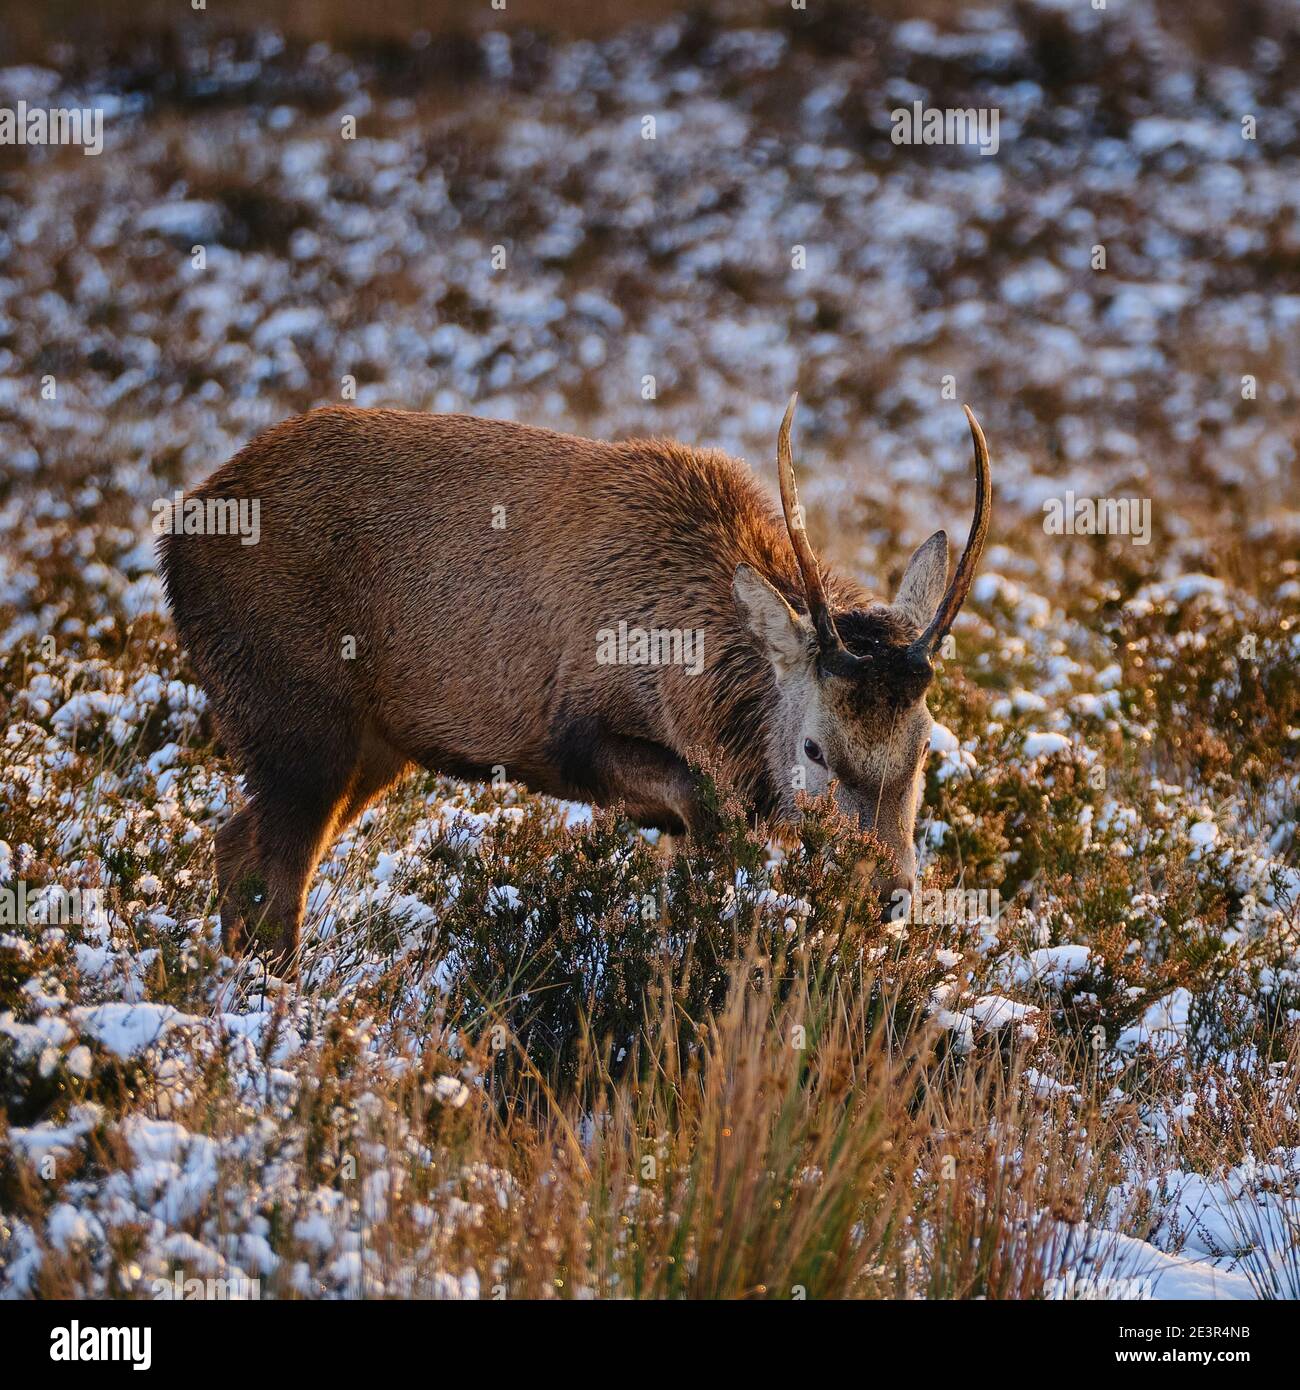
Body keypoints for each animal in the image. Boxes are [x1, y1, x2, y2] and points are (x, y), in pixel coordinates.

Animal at [159, 396, 990, 968]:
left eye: (926, 745)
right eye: (815, 748)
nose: (889, 891)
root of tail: (176, 535)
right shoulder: (572, 737)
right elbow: (702, 813)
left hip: (369, 746)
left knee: (233, 844)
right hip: (294, 714)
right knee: (278, 881)